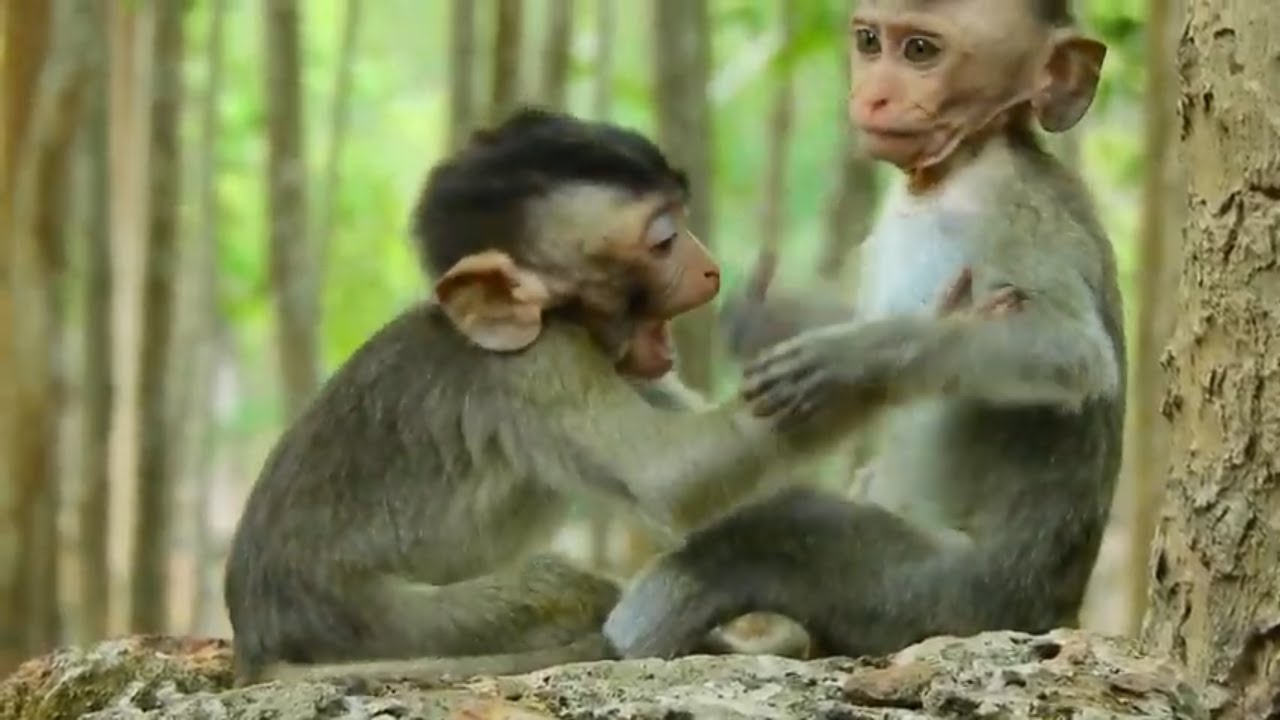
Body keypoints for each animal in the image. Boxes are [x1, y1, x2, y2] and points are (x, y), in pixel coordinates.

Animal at [223, 108, 881, 688]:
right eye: (665, 241)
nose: (710, 269)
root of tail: (254, 643)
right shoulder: (544, 364)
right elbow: (670, 477)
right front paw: (860, 362)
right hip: (382, 622)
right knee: (556, 586)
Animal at [602, 0, 1127, 661]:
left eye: (921, 52)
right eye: (871, 43)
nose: (872, 96)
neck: (953, 172)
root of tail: (1054, 612)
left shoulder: (1018, 210)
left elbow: (1070, 351)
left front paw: (850, 360)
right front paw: (762, 319)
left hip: (946, 602)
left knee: (780, 534)